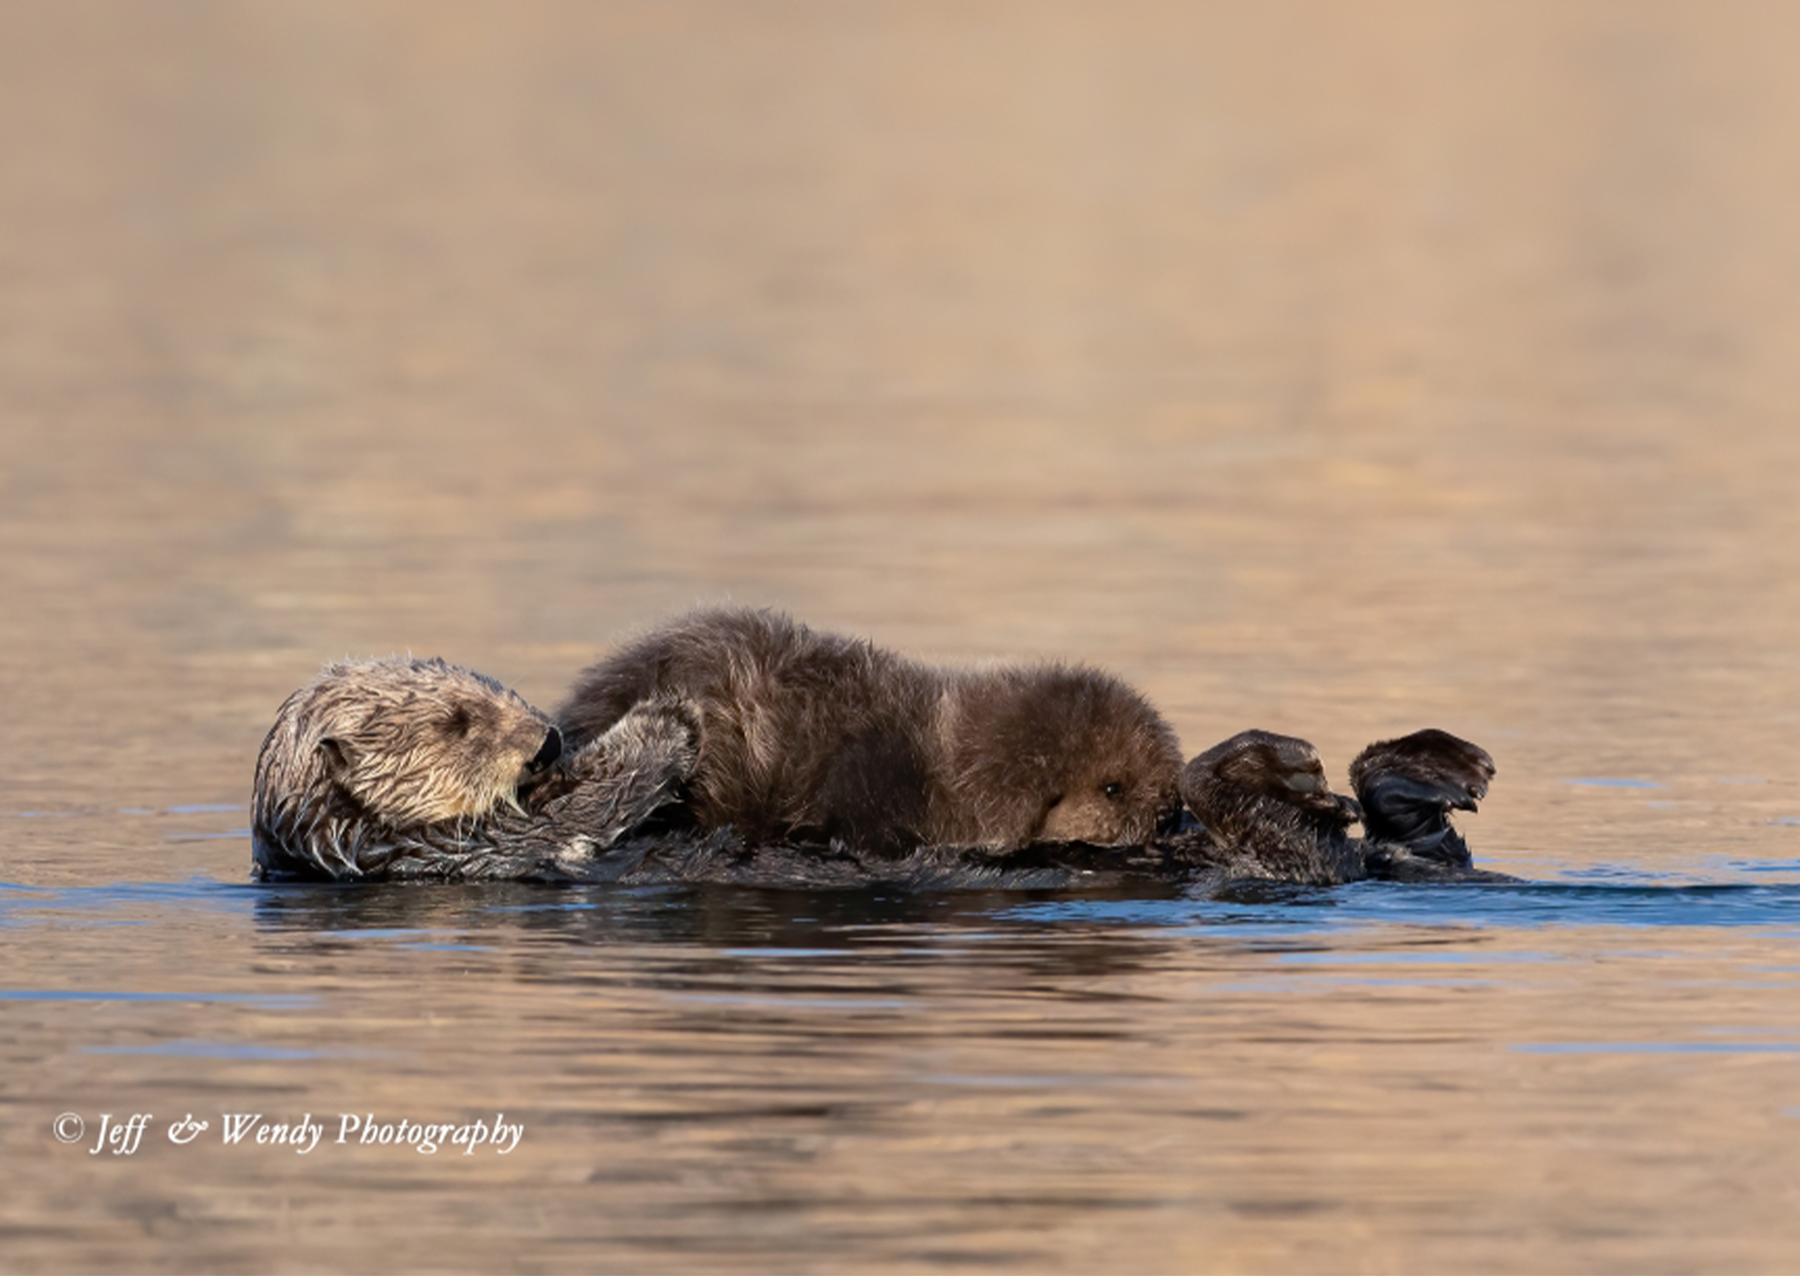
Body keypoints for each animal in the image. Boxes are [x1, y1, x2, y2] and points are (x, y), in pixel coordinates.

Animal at [250, 657, 697, 881]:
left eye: (495, 687)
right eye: (456, 723)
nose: (548, 743)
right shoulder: (445, 846)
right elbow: (571, 809)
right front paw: (668, 717)